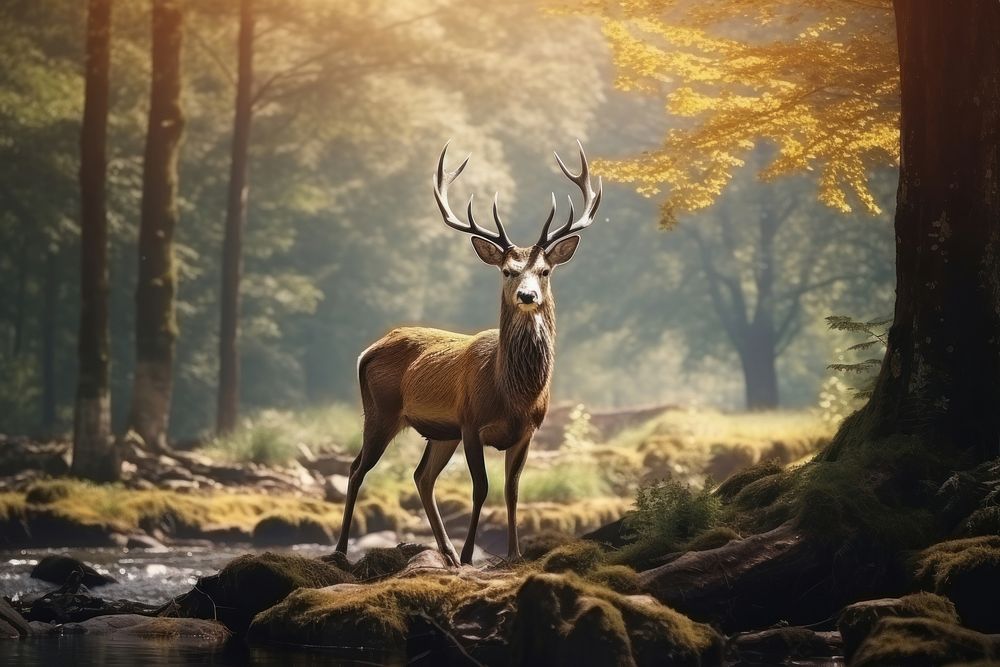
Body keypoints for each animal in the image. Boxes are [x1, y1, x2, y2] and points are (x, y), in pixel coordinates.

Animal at [334, 141, 603, 566]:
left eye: (544, 271)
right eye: (508, 271)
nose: (528, 296)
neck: (513, 394)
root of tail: (370, 349)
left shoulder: (527, 431)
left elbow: (512, 490)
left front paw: (513, 553)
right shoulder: (472, 421)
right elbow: (481, 488)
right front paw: (469, 555)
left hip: (441, 432)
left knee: (421, 476)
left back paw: (443, 552)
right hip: (380, 411)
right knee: (357, 467)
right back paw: (343, 549)